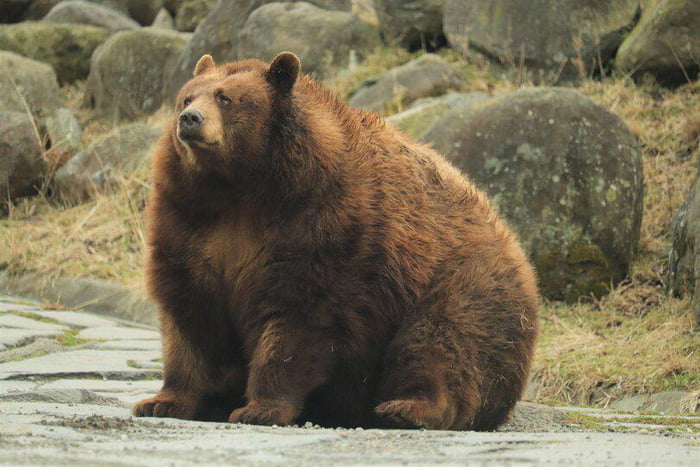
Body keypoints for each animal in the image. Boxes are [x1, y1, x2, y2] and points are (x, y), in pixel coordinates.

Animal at [132, 52, 539, 430]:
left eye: (226, 98)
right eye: (186, 97)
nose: (190, 119)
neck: (242, 188)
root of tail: (516, 248)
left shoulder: (322, 225)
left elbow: (299, 317)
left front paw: (259, 408)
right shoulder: (191, 226)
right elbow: (191, 318)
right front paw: (160, 402)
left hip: (459, 284)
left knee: (441, 342)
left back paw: (406, 408)